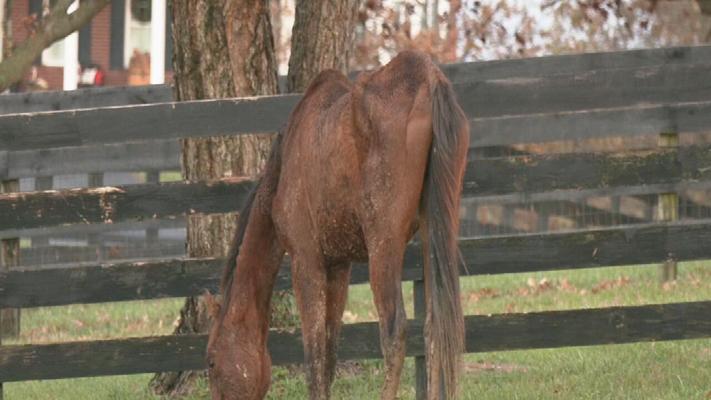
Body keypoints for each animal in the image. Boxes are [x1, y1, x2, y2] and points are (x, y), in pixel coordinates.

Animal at [205, 50, 470, 400]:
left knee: (394, 332)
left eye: (210, 361)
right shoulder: (338, 266)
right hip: (435, 232)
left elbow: (315, 356)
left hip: (383, 246)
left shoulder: (307, 261)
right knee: (435, 326)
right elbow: (329, 355)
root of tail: (428, 78)